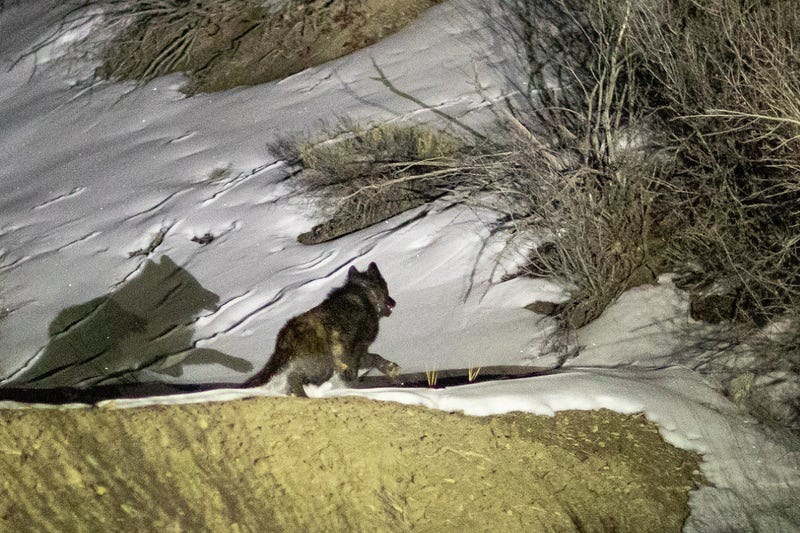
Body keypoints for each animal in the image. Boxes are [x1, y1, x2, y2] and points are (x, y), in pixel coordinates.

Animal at [245, 262, 400, 396]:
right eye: (386, 288)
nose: (394, 302)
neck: (366, 293)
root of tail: (286, 333)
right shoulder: (350, 349)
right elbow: (359, 363)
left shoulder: (359, 351)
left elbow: (375, 358)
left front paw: (390, 368)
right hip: (323, 366)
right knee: (294, 376)